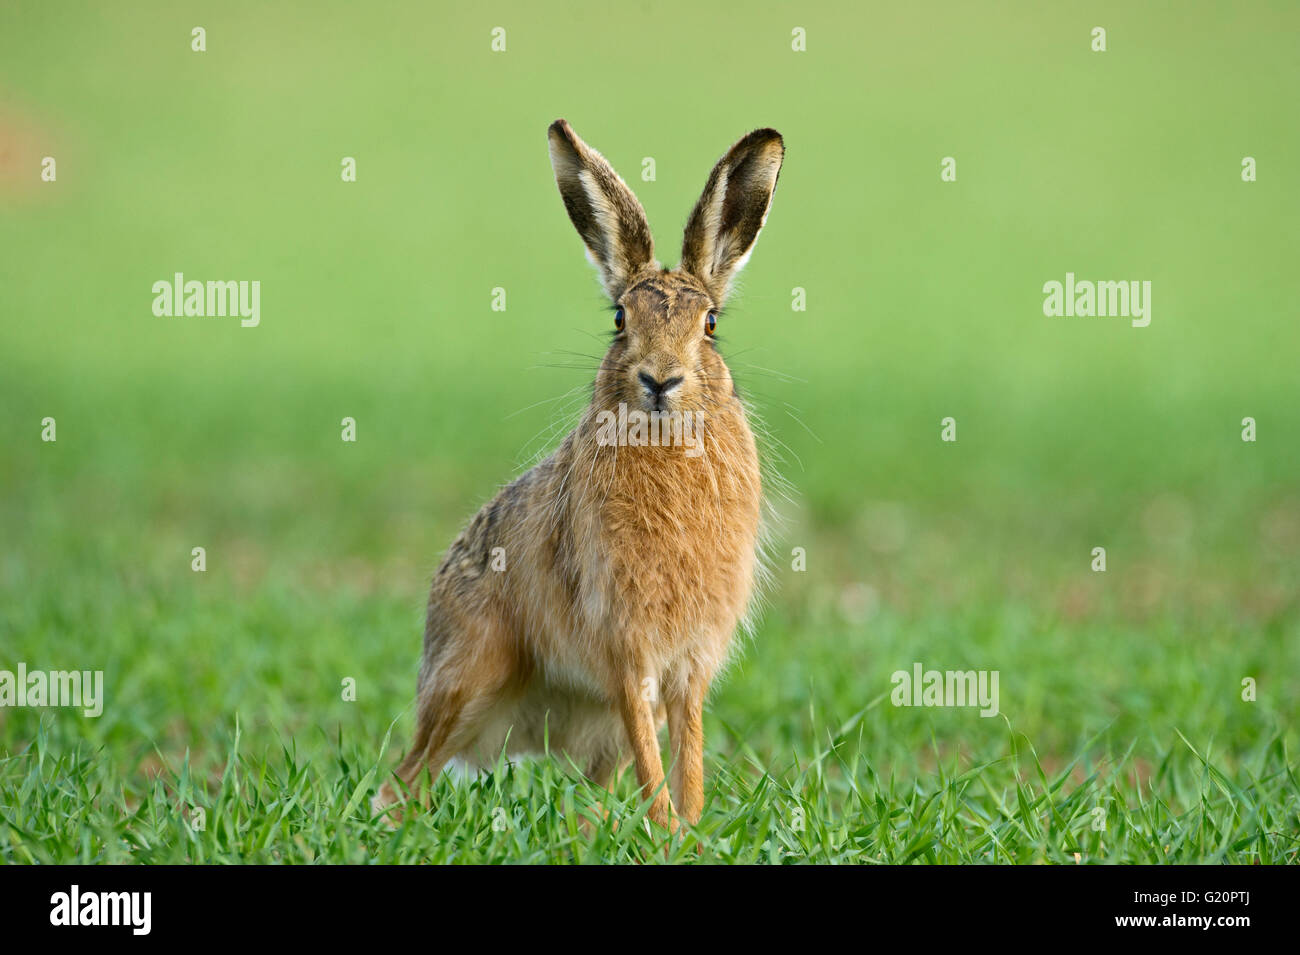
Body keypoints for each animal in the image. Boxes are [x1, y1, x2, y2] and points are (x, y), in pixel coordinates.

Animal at [373, 119, 784, 830]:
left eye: (709, 325)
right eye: (620, 320)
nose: (660, 380)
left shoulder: (687, 666)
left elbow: (688, 751)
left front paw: (690, 827)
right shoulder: (625, 648)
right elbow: (654, 756)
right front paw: (671, 831)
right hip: (469, 676)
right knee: (408, 774)